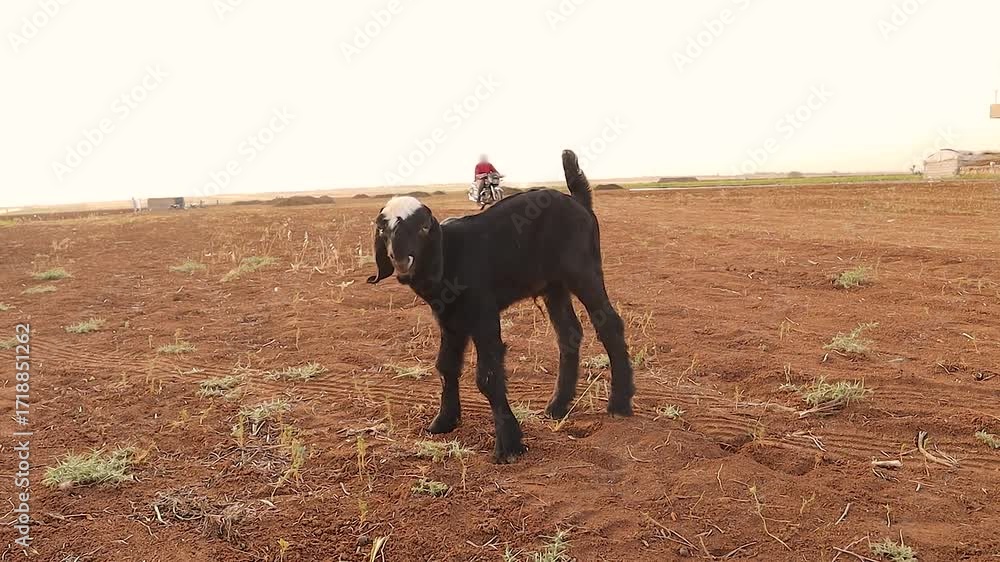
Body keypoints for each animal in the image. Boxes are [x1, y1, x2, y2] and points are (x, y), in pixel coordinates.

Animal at [367, 150, 634, 463]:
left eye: (423, 228)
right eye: (383, 228)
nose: (400, 259)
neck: (449, 253)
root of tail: (578, 201)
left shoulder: (483, 313)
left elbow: (488, 376)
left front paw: (509, 445)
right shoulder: (450, 319)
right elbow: (446, 365)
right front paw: (444, 421)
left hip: (583, 270)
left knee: (609, 324)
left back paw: (619, 404)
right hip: (553, 285)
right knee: (569, 333)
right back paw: (557, 406)